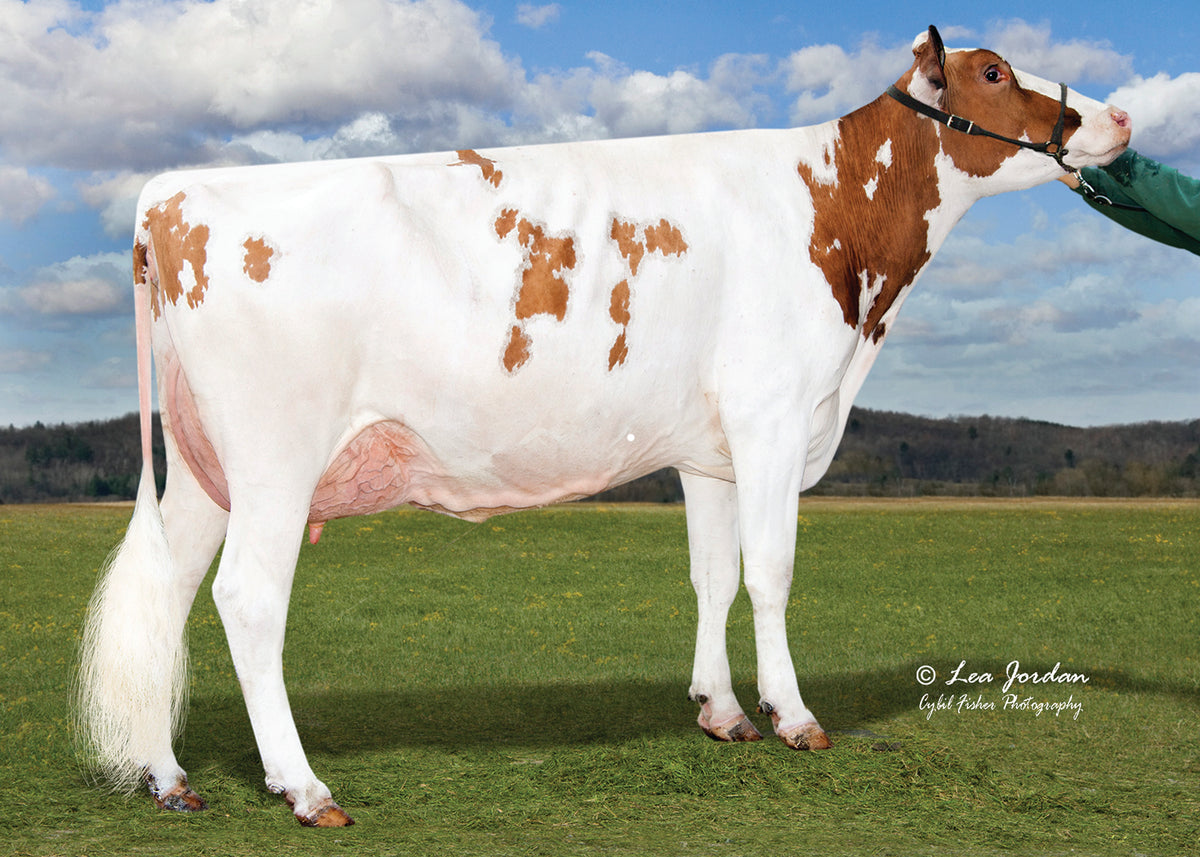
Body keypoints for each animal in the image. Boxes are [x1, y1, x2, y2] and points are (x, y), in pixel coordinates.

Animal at [76, 26, 1132, 826]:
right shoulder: (774, 415)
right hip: (275, 458)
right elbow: (771, 572)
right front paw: (793, 715)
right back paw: (304, 787)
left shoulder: (710, 451)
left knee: (170, 591)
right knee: (248, 600)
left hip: (206, 467)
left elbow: (713, 574)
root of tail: (170, 192)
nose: (1119, 115)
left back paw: (168, 776)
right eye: (994, 72)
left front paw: (721, 709)